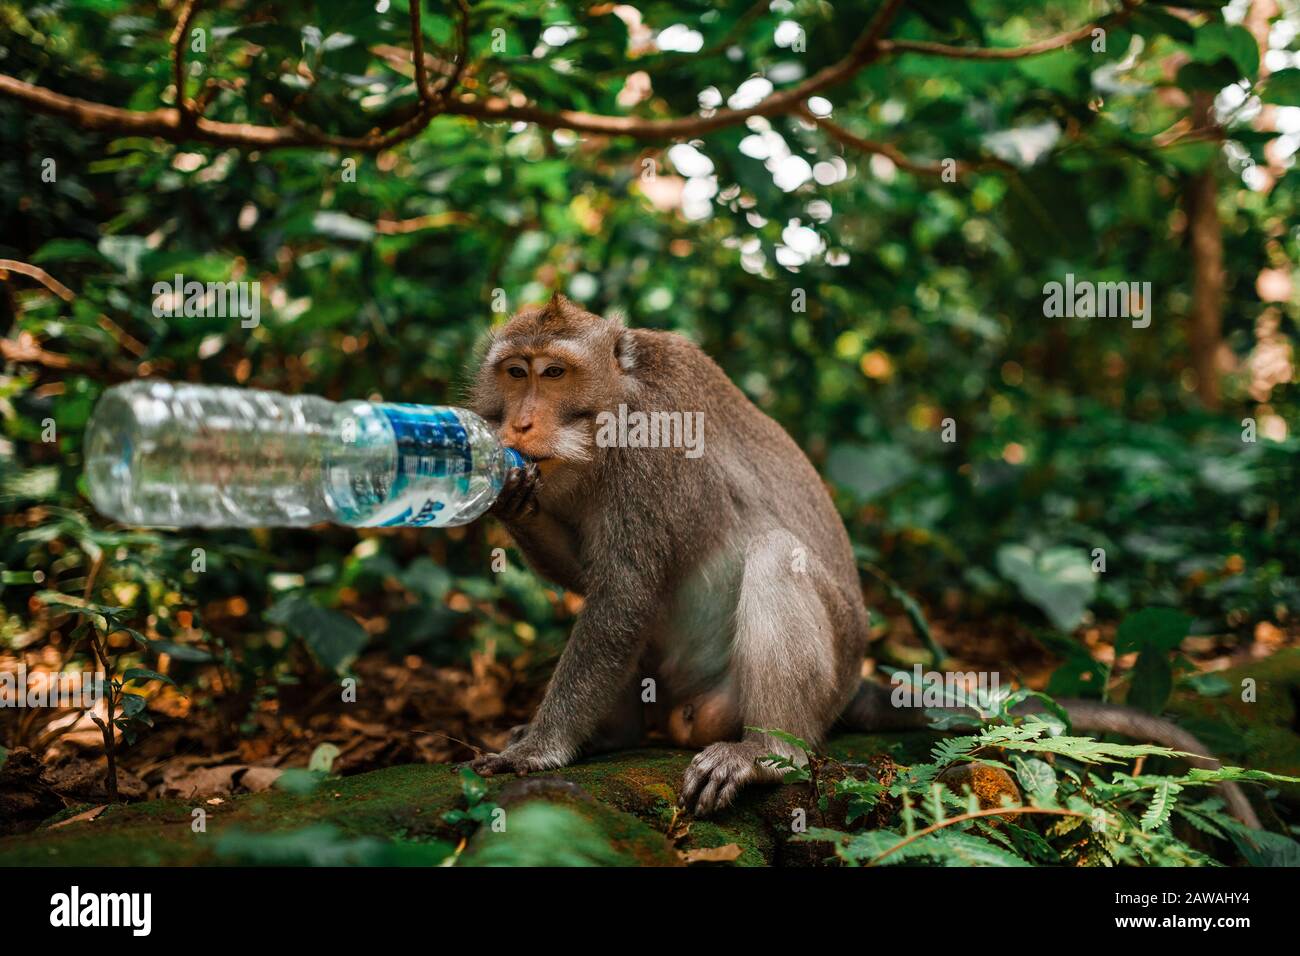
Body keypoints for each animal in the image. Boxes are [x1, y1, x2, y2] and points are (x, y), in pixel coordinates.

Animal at [467, 293, 1260, 828]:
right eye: (514, 372)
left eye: (554, 374)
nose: (520, 423)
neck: (607, 413)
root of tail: (853, 686)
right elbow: (591, 582)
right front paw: (512, 495)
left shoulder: (649, 450)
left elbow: (624, 594)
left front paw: (541, 750)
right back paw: (618, 736)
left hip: (773, 695)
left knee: (775, 557)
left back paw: (766, 755)